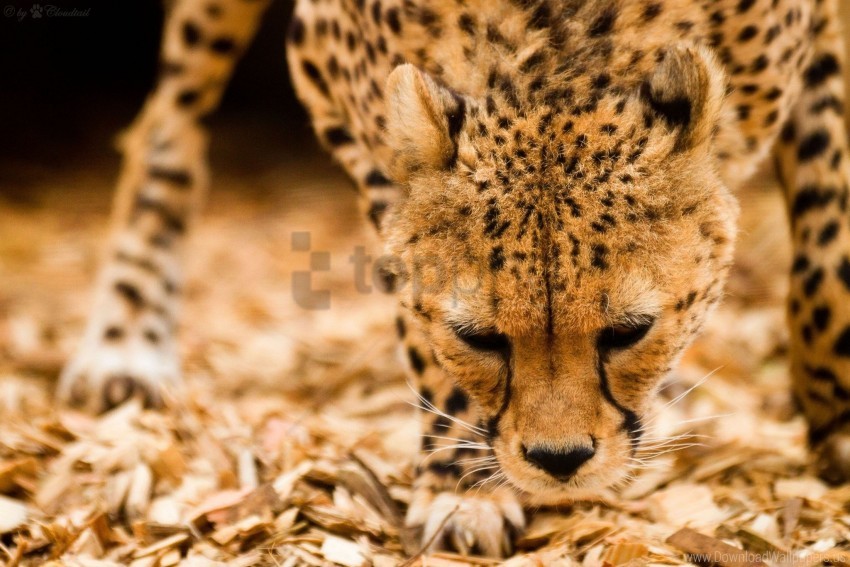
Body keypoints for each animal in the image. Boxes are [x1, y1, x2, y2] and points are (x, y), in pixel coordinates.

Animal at [58, 0, 850, 557]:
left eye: (630, 332)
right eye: (481, 337)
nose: (559, 461)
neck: (561, 49)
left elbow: (829, 247)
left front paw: (839, 424)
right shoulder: (330, 80)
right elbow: (419, 319)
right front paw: (464, 486)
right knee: (168, 124)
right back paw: (125, 343)